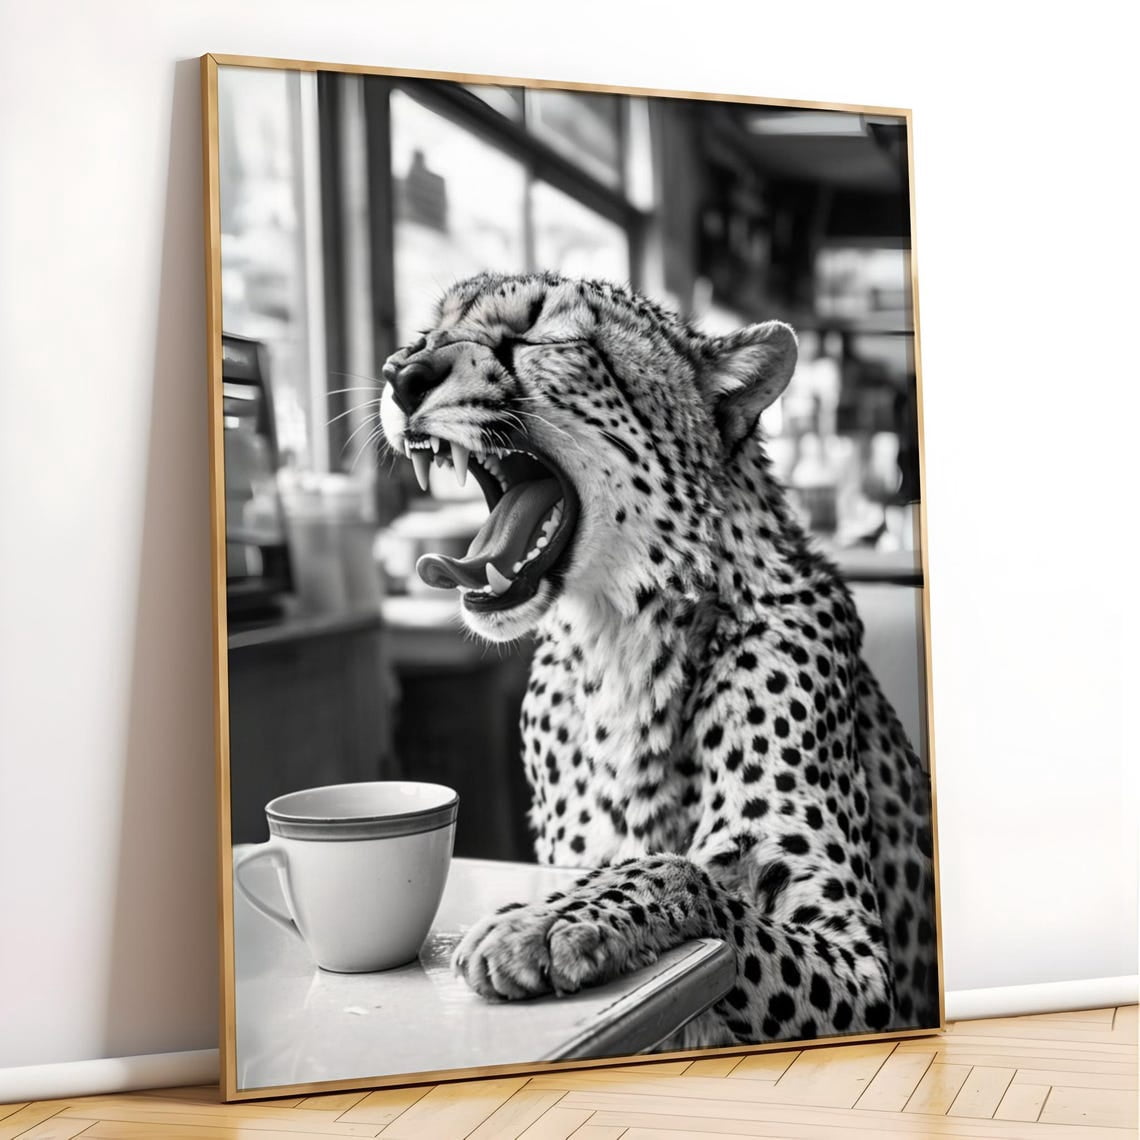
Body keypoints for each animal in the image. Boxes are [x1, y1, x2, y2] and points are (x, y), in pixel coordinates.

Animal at [378, 270, 939, 1050]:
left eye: (536, 334)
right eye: (427, 333)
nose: (400, 374)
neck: (620, 643)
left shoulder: (861, 967)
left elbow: (677, 869)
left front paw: (552, 919)